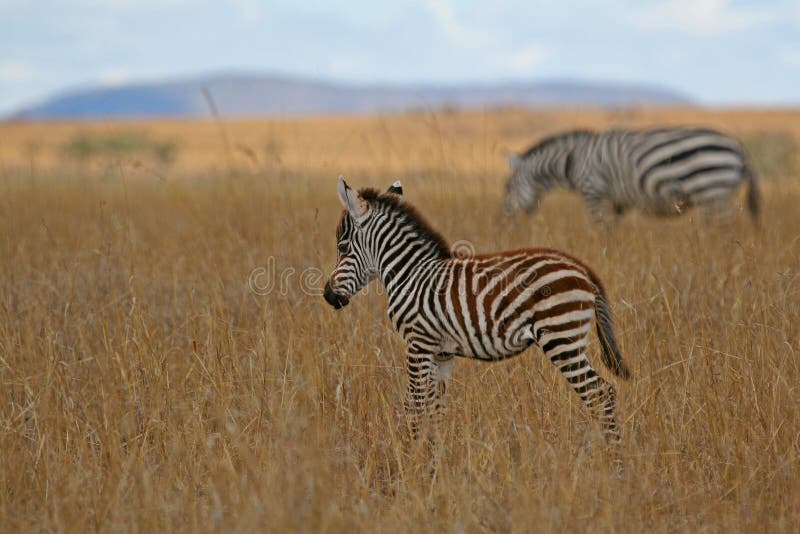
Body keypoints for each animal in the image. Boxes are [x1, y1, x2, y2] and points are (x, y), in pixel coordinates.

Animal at [324, 176, 631, 444]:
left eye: (342, 246)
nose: (328, 295)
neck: (411, 273)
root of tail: (583, 269)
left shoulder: (417, 344)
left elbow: (416, 408)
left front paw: (414, 462)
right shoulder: (442, 353)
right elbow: (435, 411)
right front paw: (436, 460)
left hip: (560, 338)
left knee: (601, 393)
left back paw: (611, 460)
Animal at [503, 128, 760, 224]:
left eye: (507, 188)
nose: (502, 222)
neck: (571, 160)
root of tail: (739, 147)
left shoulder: (592, 191)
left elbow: (601, 227)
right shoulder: (618, 201)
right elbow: (614, 228)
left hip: (711, 187)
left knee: (723, 226)